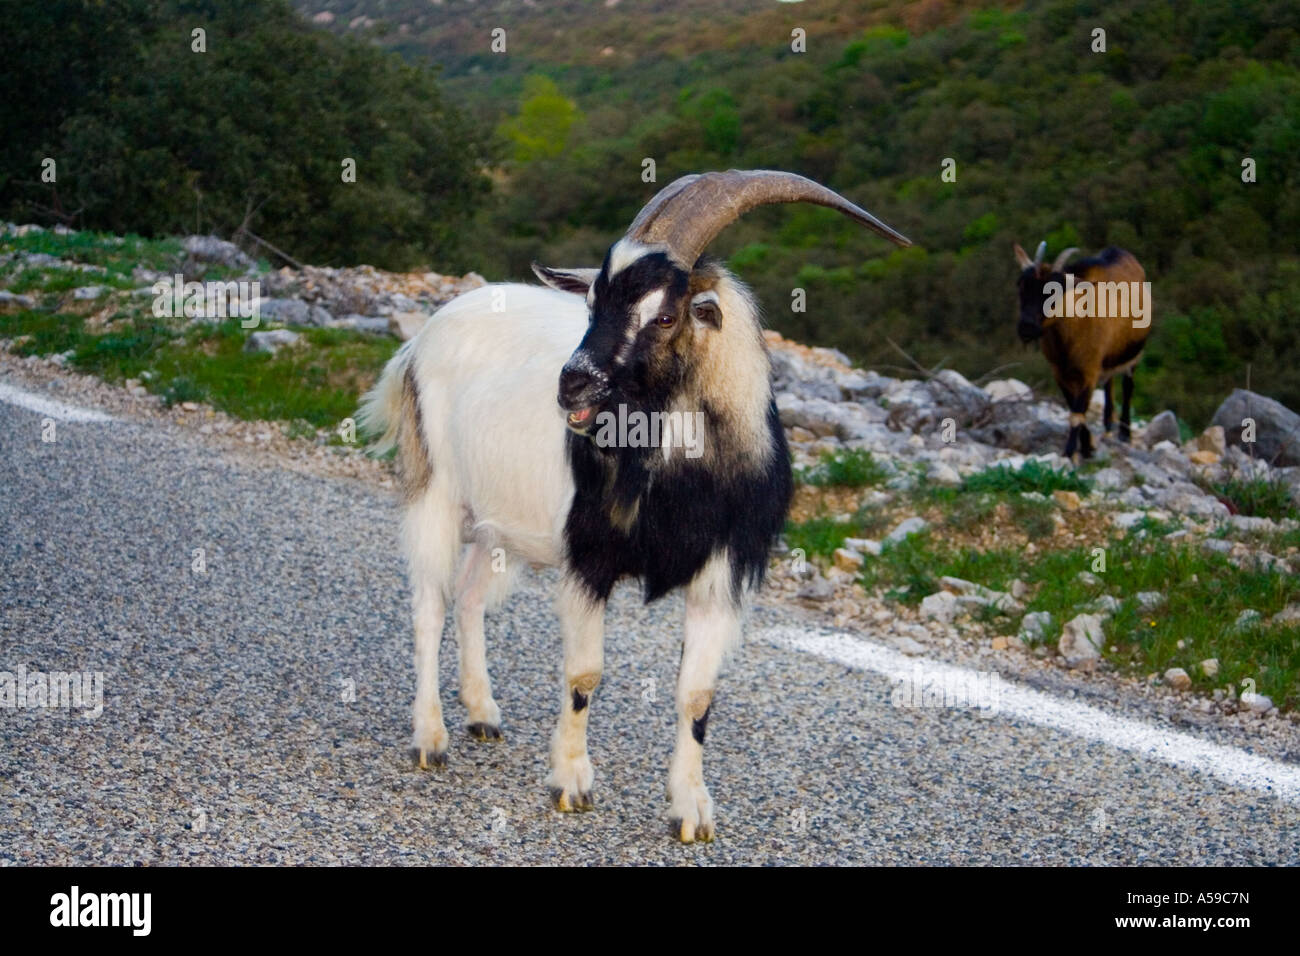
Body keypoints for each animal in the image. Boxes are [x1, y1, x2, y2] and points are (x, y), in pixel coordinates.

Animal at [360, 170, 911, 842]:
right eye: (592, 302)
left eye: (666, 314)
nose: (572, 384)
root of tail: (420, 339)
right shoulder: (588, 559)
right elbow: (584, 674)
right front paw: (571, 783)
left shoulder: (722, 576)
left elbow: (698, 694)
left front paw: (691, 810)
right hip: (434, 490)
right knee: (428, 607)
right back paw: (430, 739)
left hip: (500, 528)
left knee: (467, 599)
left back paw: (483, 713)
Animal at [1013, 241, 1152, 459]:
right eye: (1021, 285)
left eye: (1055, 291)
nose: (1027, 327)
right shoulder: (1059, 372)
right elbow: (1074, 406)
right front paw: (1087, 446)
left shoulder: (1089, 372)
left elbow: (1078, 411)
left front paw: (1071, 452)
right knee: (1109, 383)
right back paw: (1108, 425)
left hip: (1134, 355)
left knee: (1128, 386)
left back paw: (1124, 433)